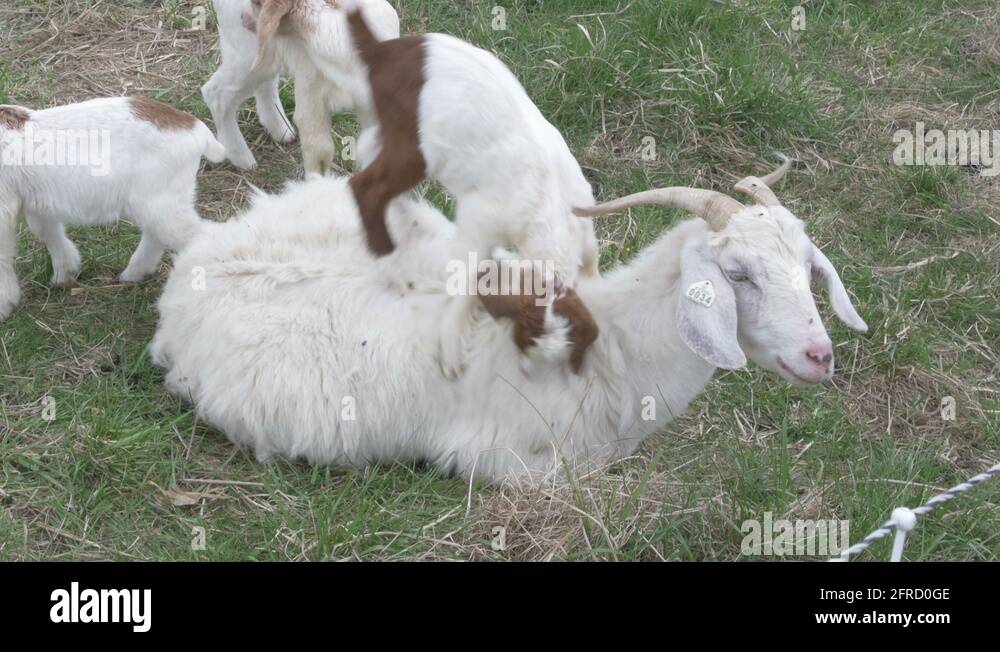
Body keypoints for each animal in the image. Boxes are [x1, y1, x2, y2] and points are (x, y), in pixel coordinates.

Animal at [0, 97, 224, 322]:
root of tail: (197, 131)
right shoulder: (34, 203)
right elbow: (48, 233)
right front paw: (64, 275)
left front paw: (4, 307)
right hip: (160, 203)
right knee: (157, 237)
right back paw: (134, 274)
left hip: (161, 203)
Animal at [150, 157, 869, 483]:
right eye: (738, 274)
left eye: (807, 267)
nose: (820, 356)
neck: (614, 349)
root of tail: (203, 253)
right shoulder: (504, 460)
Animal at [201, 0, 399, 172]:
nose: (245, 19)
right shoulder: (311, 93)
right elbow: (319, 151)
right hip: (246, 51)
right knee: (216, 92)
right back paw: (241, 157)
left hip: (267, 55)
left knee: (265, 84)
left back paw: (280, 130)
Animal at [251, 0, 601, 376]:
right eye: (521, 340)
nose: (525, 372)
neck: (547, 209)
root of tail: (380, 52)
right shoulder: (479, 224)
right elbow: (465, 281)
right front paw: (450, 353)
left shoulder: (584, 225)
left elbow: (591, 268)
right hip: (412, 146)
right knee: (365, 187)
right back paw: (388, 256)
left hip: (390, 130)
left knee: (370, 161)